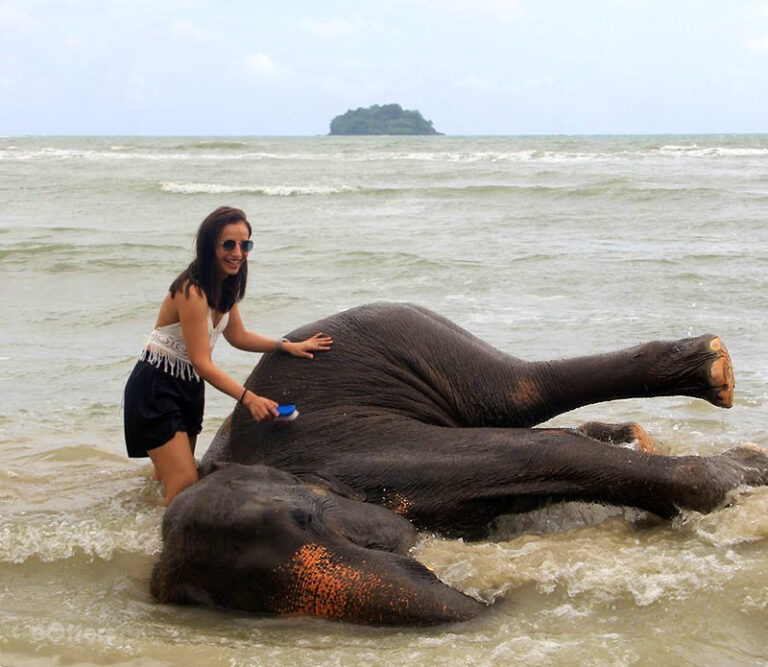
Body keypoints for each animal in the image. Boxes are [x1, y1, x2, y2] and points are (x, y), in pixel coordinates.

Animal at [151, 303, 768, 625]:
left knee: (513, 391)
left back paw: (716, 372)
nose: (493, 602)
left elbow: (536, 446)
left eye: (307, 519)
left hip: (384, 331)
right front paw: (739, 473)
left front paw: (738, 475)